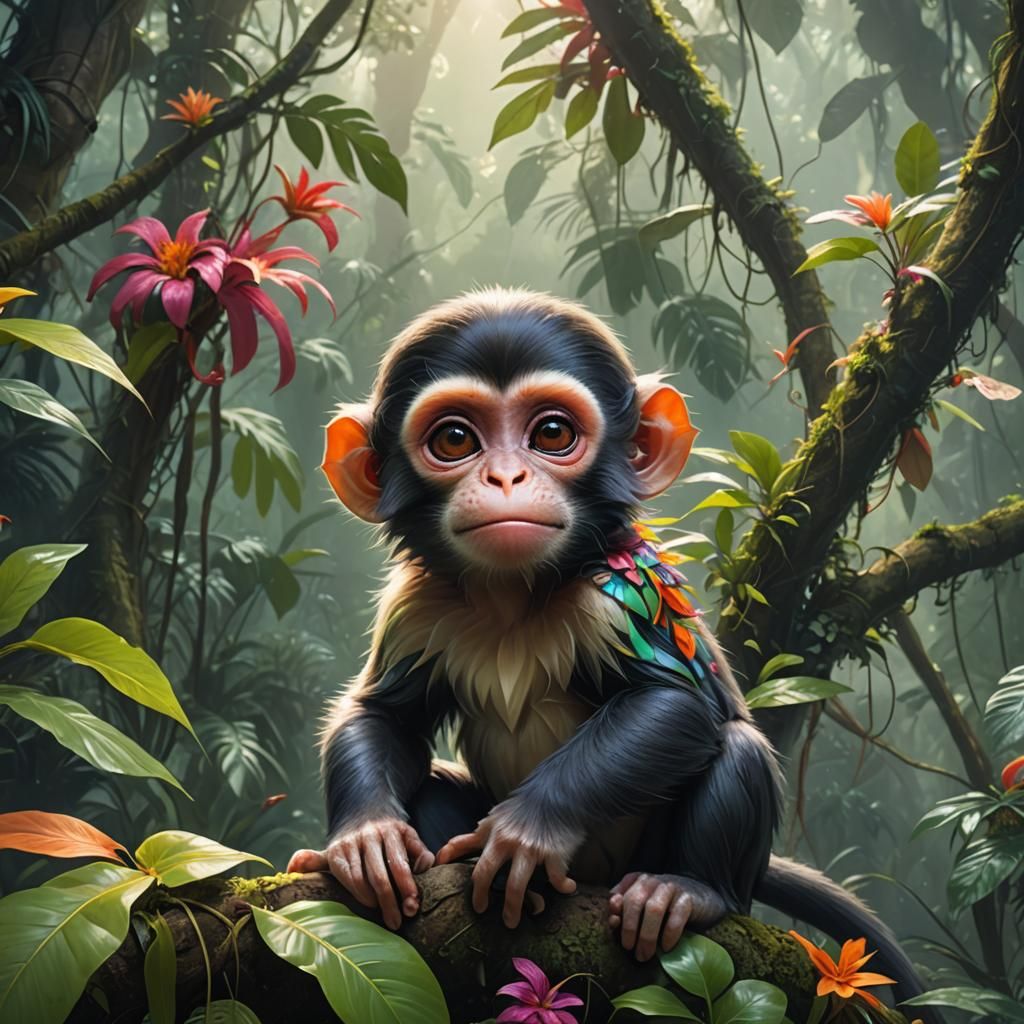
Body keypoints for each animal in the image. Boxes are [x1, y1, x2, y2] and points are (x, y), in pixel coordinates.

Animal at [288, 288, 939, 1021]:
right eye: (455, 439)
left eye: (551, 434)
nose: (506, 476)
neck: (515, 597)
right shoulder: (418, 605)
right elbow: (384, 715)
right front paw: (366, 836)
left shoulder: (622, 588)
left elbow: (676, 705)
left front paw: (527, 830)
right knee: (432, 788)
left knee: (738, 750)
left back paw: (687, 891)